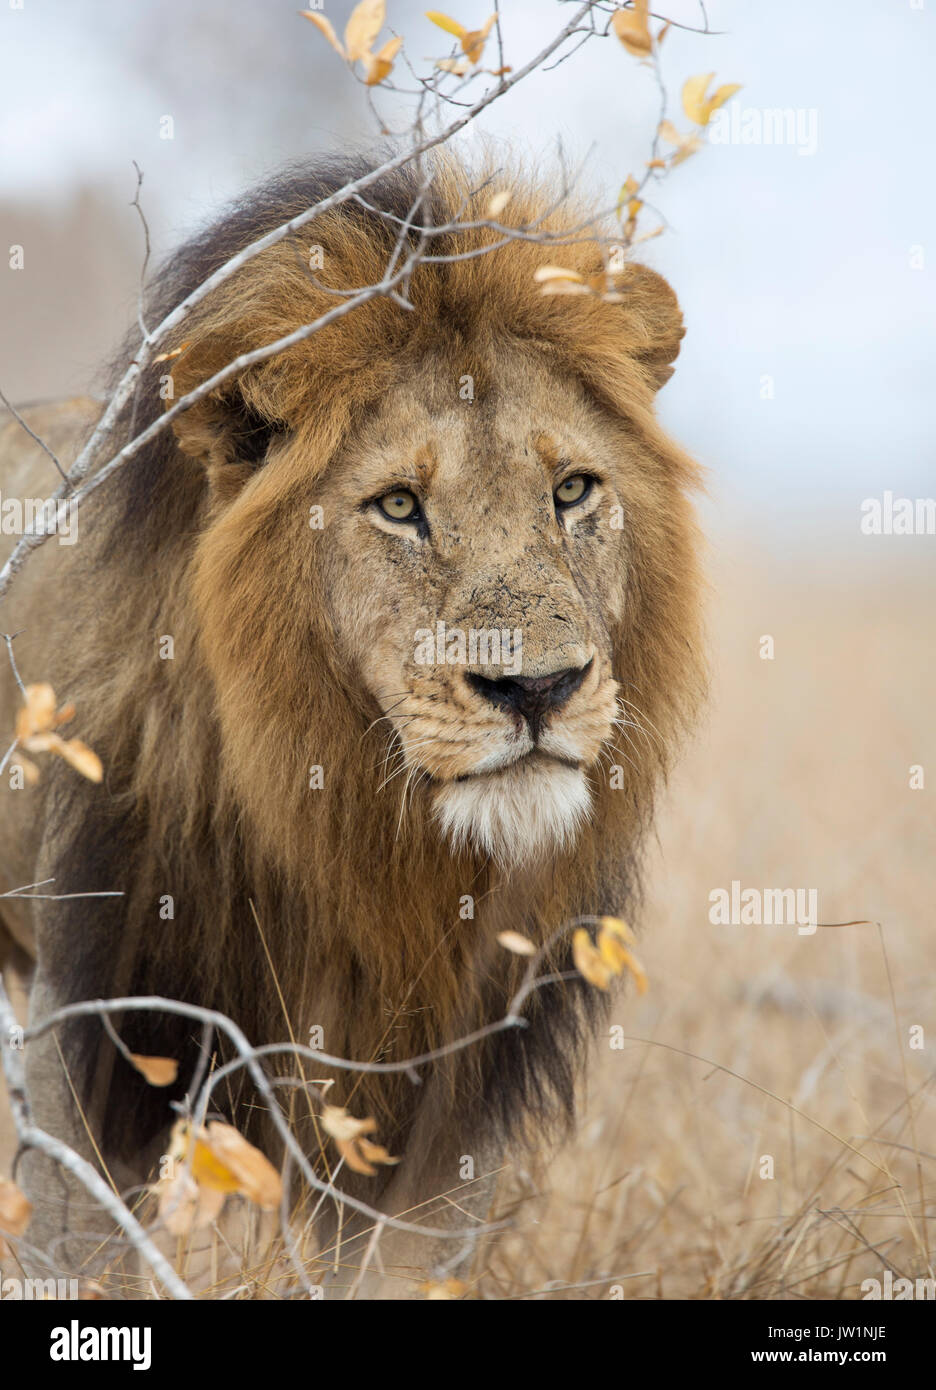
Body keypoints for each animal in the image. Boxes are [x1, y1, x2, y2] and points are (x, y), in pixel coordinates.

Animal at [0, 154, 704, 1298]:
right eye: (399, 507)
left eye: (572, 490)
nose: (540, 689)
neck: (352, 824)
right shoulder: (100, 1025)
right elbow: (81, 1252)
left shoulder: (449, 1082)